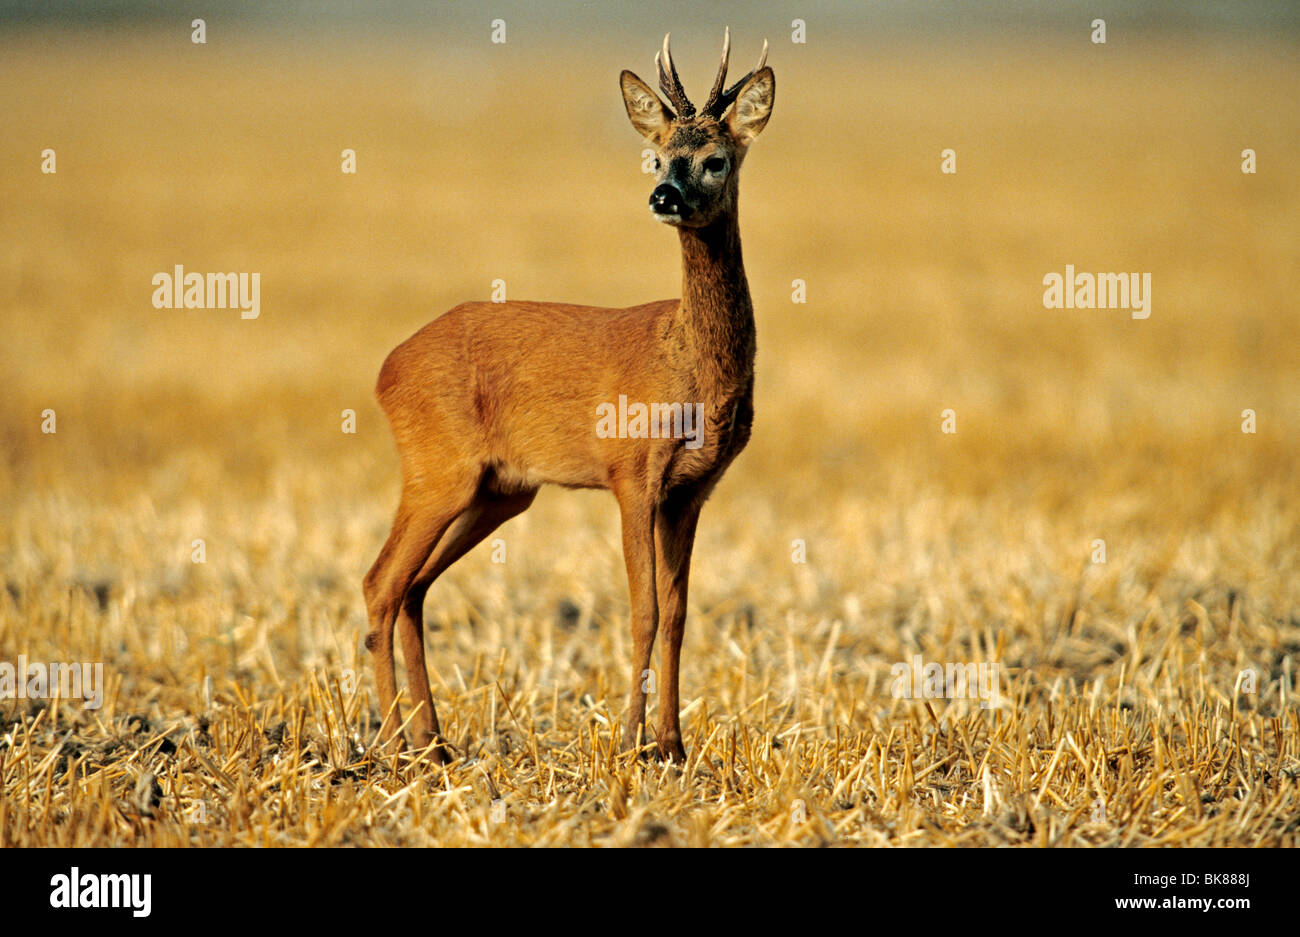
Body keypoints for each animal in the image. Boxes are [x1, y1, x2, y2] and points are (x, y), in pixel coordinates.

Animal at [362, 29, 774, 764]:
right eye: (658, 155)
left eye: (716, 160)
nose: (664, 195)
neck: (688, 365)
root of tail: (388, 366)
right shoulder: (631, 471)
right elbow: (643, 610)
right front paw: (629, 744)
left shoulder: (691, 489)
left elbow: (679, 612)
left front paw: (673, 746)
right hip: (438, 469)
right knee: (380, 584)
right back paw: (393, 747)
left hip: (499, 490)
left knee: (411, 589)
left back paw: (434, 743)